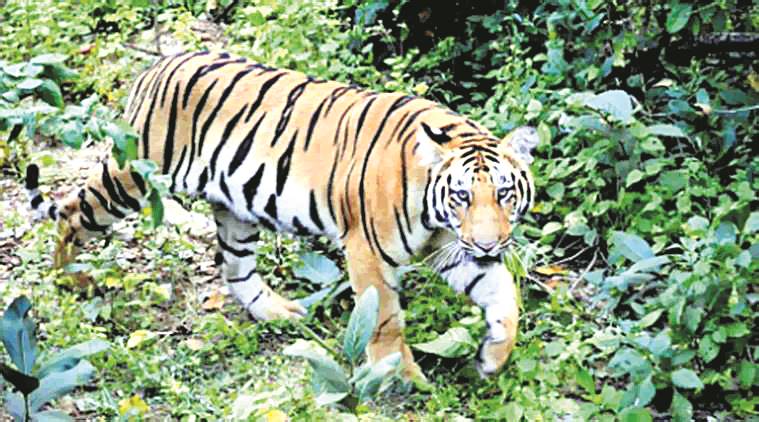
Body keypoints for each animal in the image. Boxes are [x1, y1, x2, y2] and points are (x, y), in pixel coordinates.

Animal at [25, 51, 539, 381]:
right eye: (461, 196)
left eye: (504, 194)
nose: (490, 243)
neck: (436, 214)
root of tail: (156, 65)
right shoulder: (369, 253)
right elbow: (385, 320)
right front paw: (402, 378)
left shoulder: (455, 249)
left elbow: (505, 302)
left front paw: (491, 360)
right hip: (132, 177)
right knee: (71, 212)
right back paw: (70, 281)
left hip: (236, 209)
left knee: (234, 269)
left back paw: (280, 314)